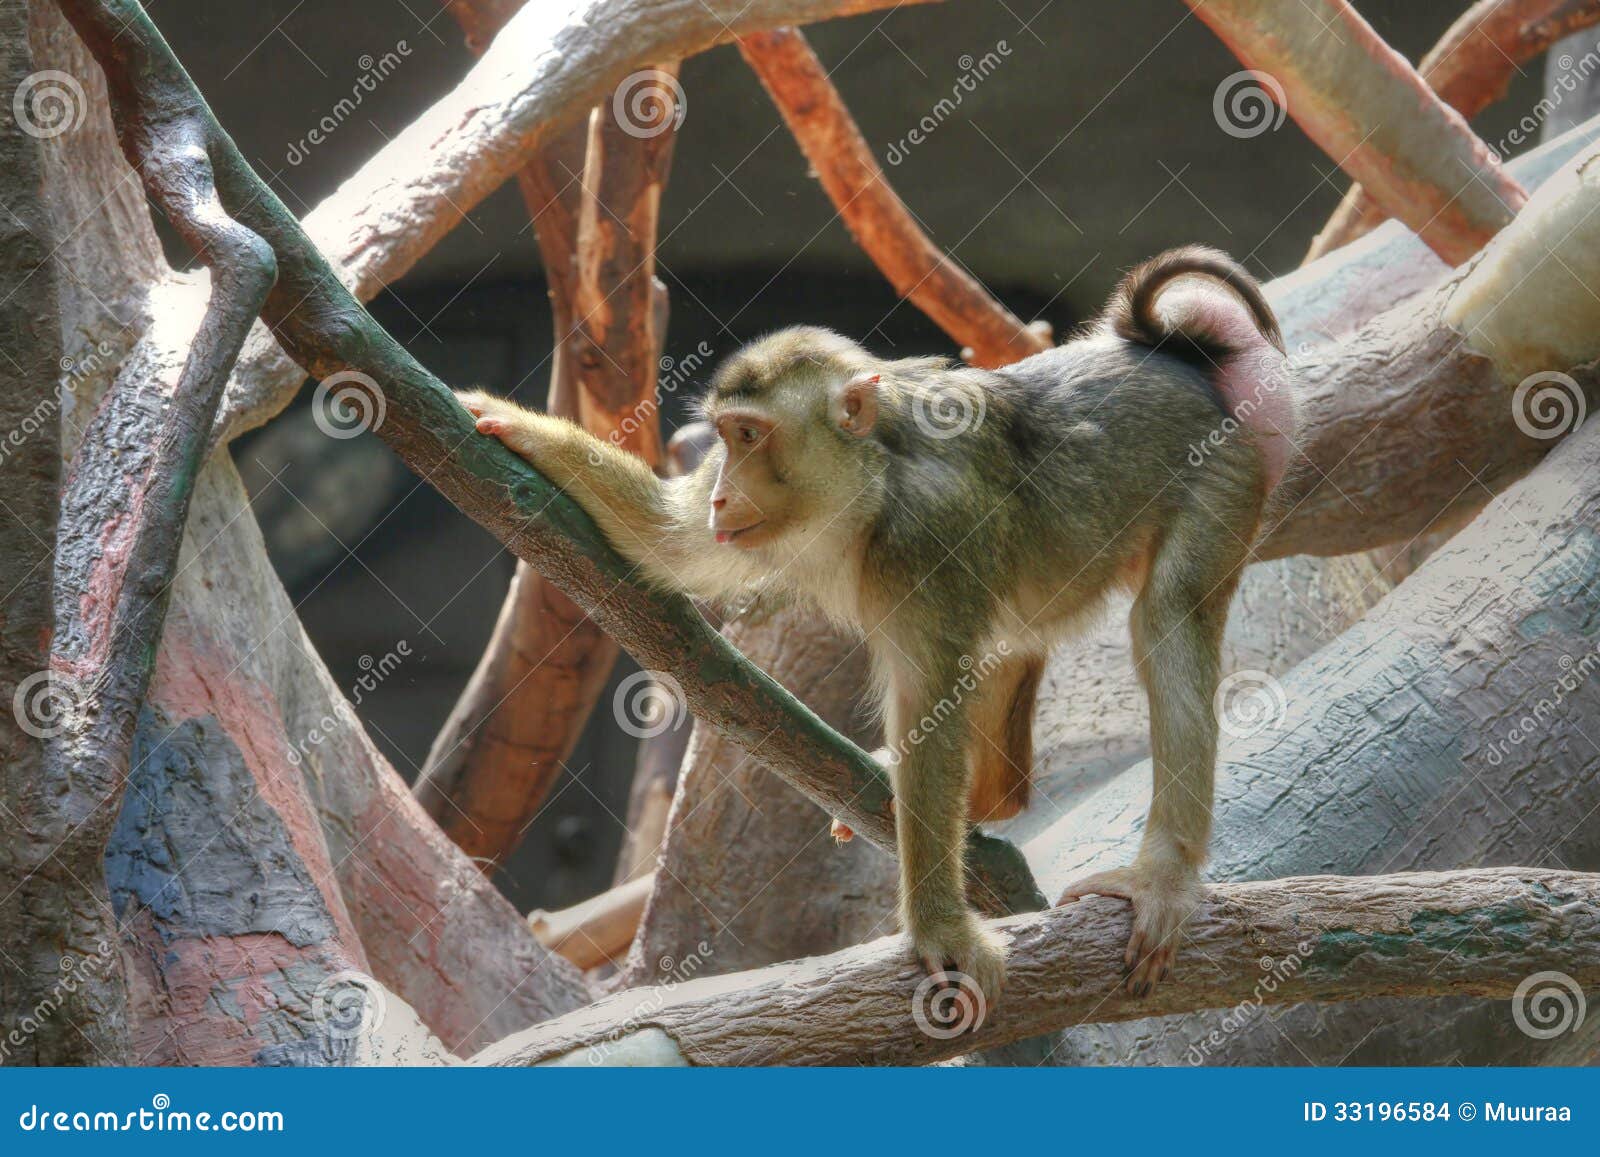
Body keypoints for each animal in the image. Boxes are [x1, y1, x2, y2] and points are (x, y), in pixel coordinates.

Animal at [457, 245, 1294, 1005]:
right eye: (724, 438)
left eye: (751, 436)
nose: (722, 492)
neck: (877, 475)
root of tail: (1176, 358)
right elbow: (675, 541)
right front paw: (507, 422)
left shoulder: (930, 530)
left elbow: (930, 701)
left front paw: (939, 928)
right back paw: (995, 796)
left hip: (1228, 467)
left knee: (1168, 616)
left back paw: (1162, 877)